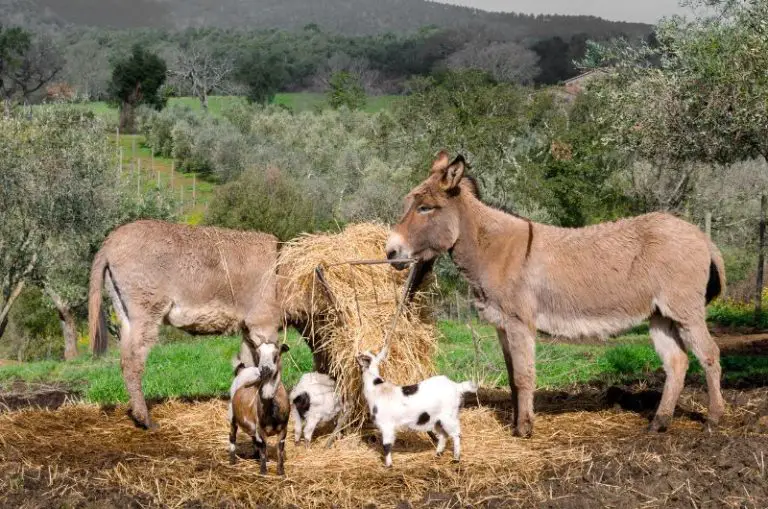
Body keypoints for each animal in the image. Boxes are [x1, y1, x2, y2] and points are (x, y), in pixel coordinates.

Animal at [228, 344, 291, 475]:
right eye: (258, 355)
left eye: (276, 355)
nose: (264, 370)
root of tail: (243, 369)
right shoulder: (260, 428)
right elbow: (263, 446)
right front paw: (263, 471)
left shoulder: (284, 428)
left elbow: (280, 449)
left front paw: (281, 472)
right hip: (231, 413)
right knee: (232, 435)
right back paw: (232, 461)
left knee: (253, 438)